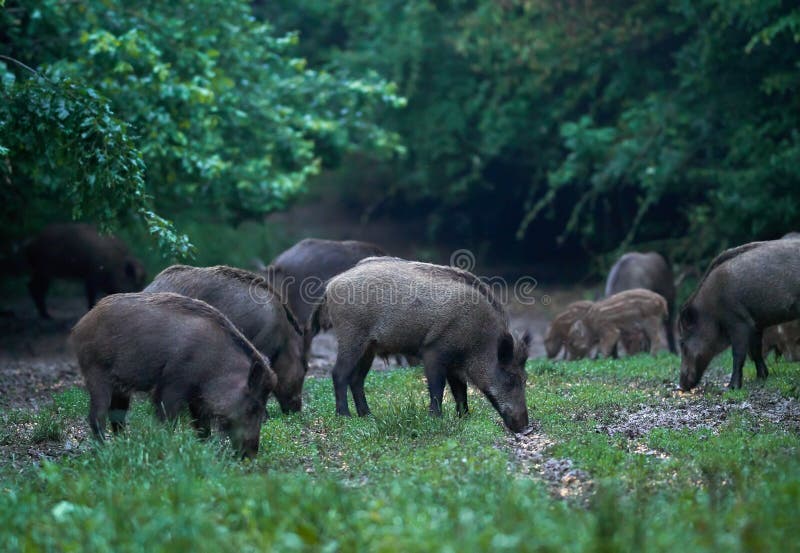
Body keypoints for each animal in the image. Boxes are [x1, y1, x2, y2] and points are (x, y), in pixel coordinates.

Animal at [70, 292, 277, 458]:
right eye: (253, 407)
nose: (251, 455)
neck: (217, 367)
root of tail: (80, 325)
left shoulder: (198, 398)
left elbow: (203, 428)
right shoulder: (172, 386)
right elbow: (168, 422)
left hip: (121, 388)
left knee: (117, 417)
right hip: (96, 373)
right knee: (97, 416)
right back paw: (103, 451)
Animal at [312, 257, 531, 432]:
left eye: (525, 379)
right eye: (510, 379)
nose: (525, 428)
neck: (479, 340)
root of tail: (331, 285)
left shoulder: (455, 365)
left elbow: (460, 391)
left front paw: (464, 418)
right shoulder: (434, 351)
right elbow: (437, 387)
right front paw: (436, 418)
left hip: (369, 348)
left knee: (357, 379)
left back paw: (368, 416)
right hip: (351, 336)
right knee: (339, 374)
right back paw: (344, 416)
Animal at [678, 240, 800, 390]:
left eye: (682, 343)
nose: (681, 386)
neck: (711, 312)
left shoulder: (738, 322)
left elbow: (738, 354)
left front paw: (732, 387)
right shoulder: (755, 324)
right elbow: (755, 351)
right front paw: (761, 378)